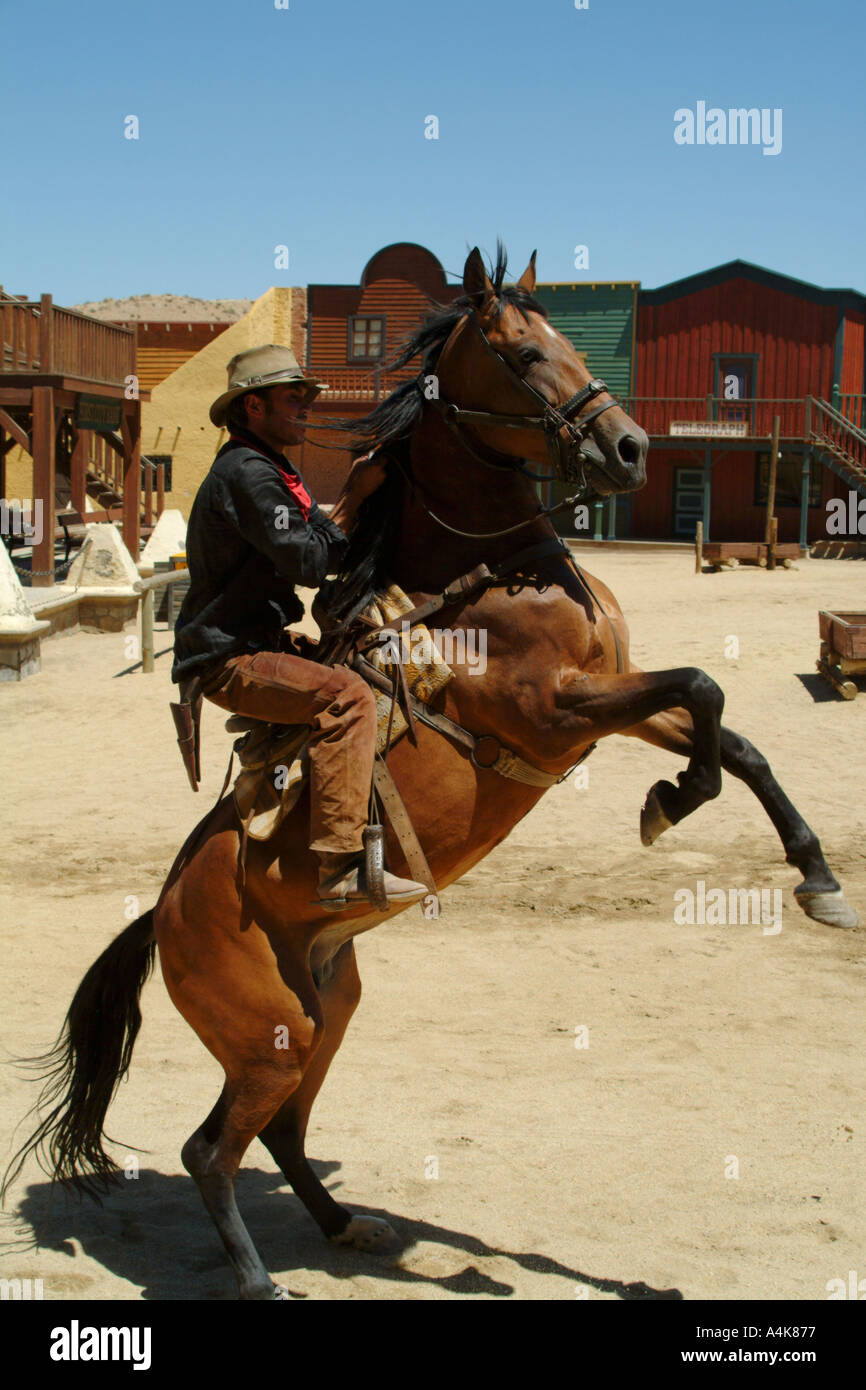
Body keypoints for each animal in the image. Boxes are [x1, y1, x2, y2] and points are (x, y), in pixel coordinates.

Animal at [4, 245, 857, 1300]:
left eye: (572, 341)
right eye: (523, 353)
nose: (629, 451)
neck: (492, 580)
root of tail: (160, 914)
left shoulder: (602, 706)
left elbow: (732, 735)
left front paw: (813, 875)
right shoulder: (555, 714)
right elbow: (704, 690)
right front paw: (675, 803)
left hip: (323, 1010)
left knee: (277, 1134)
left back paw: (345, 1225)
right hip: (270, 1037)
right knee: (211, 1151)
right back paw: (260, 1277)